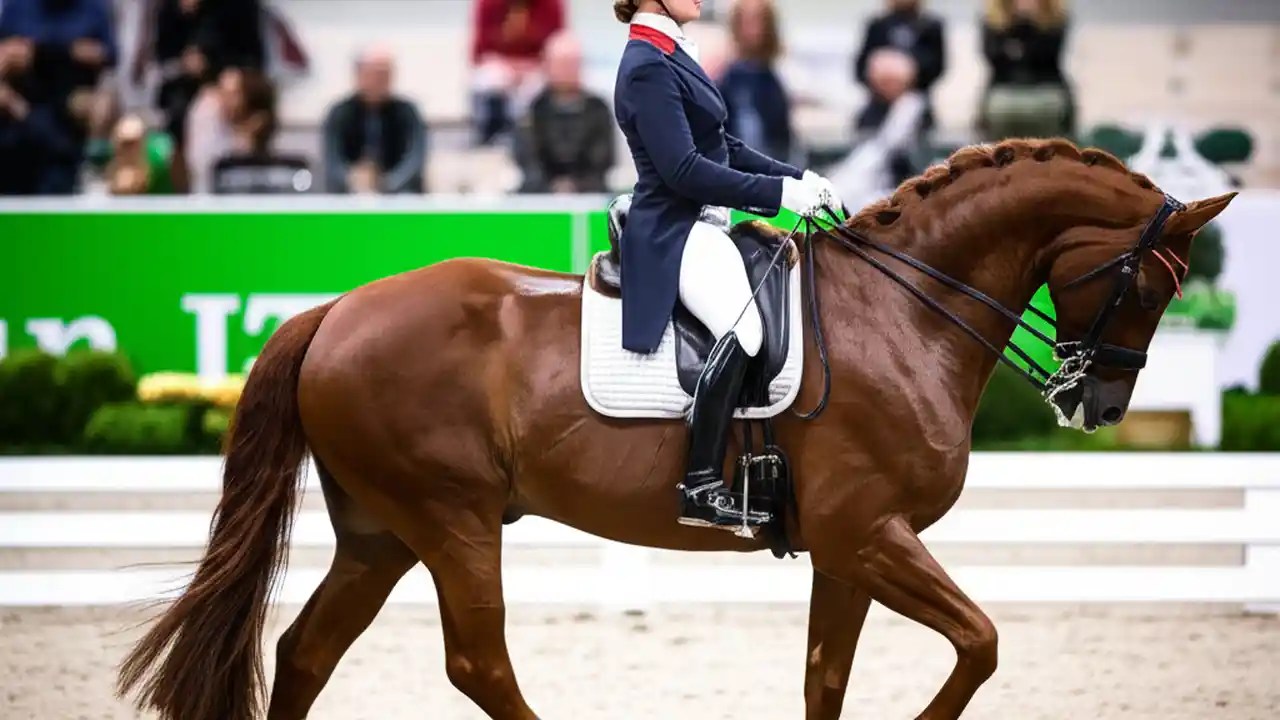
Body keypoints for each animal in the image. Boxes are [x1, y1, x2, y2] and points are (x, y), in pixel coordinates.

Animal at [117, 139, 1234, 720]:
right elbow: (980, 645)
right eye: (1148, 286)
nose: (1094, 407)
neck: (902, 314)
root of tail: (333, 311)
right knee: (476, 663)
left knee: (307, 650)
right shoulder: (870, 534)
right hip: (451, 518)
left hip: (382, 531)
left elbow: (827, 678)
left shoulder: (848, 548)